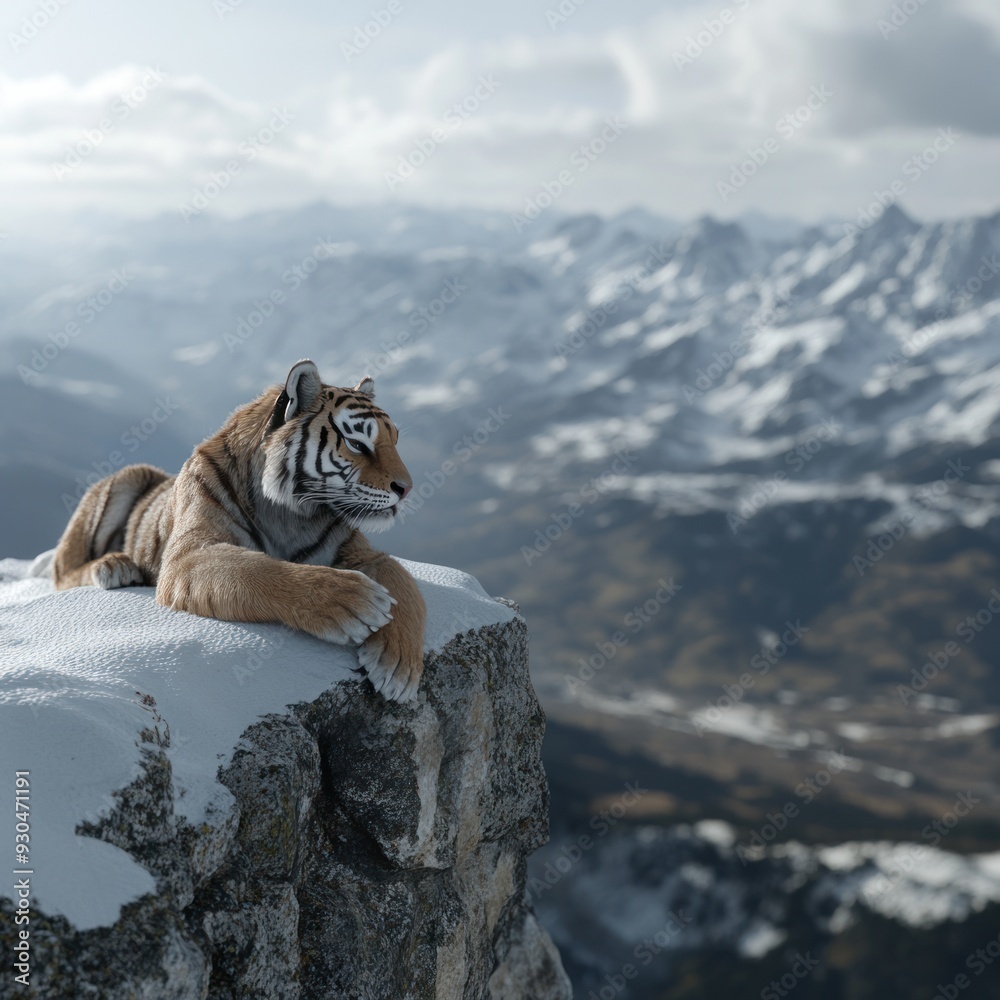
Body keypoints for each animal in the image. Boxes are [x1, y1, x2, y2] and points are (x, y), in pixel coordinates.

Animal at [52, 359, 426, 702]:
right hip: (125, 479)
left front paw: (398, 667)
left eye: (394, 441)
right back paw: (115, 566)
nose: (407, 489)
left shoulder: (359, 550)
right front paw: (353, 600)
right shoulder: (187, 557)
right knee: (63, 573)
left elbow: (398, 575)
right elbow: (256, 568)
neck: (290, 513)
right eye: (358, 444)